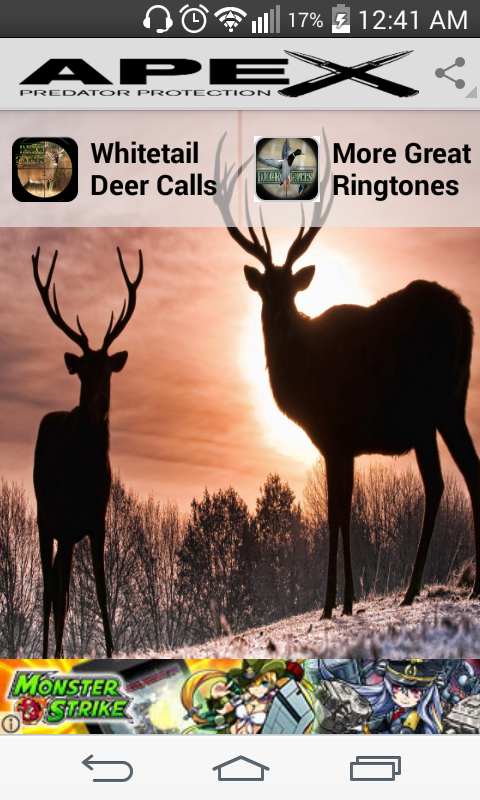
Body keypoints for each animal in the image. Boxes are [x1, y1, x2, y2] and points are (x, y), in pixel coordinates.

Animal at [32, 246, 143, 657]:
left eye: (108, 372)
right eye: (82, 373)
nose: (98, 407)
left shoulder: (97, 521)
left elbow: (101, 590)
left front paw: (111, 651)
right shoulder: (64, 524)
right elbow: (62, 598)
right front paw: (59, 655)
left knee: (56, 586)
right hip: (43, 519)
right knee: (50, 591)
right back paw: (47, 653)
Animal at [214, 132, 480, 619]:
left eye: (291, 289)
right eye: (265, 291)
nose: (281, 320)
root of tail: (464, 315)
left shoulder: (334, 434)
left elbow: (336, 512)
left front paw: (331, 603)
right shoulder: (346, 444)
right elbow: (345, 509)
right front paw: (347, 600)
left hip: (428, 406)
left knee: (437, 484)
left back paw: (412, 590)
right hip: (452, 401)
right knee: (469, 472)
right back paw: (467, 588)